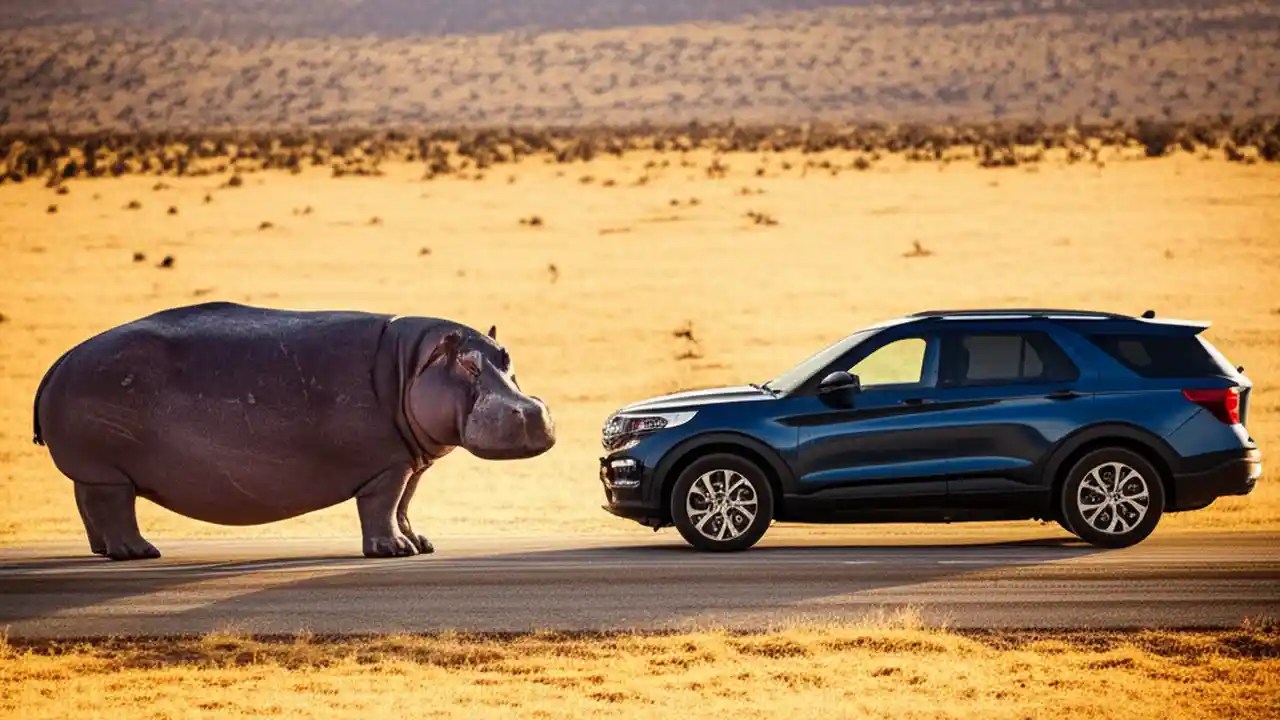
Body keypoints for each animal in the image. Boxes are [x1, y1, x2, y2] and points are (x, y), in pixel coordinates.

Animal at [32, 302, 555, 560]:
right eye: (467, 365)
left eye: (506, 356)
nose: (531, 412)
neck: (414, 362)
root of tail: (60, 360)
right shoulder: (387, 467)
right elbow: (383, 508)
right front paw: (394, 552)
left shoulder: (409, 464)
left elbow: (405, 506)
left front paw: (421, 544)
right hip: (108, 471)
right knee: (116, 509)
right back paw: (140, 554)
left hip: (93, 471)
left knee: (88, 504)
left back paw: (103, 551)